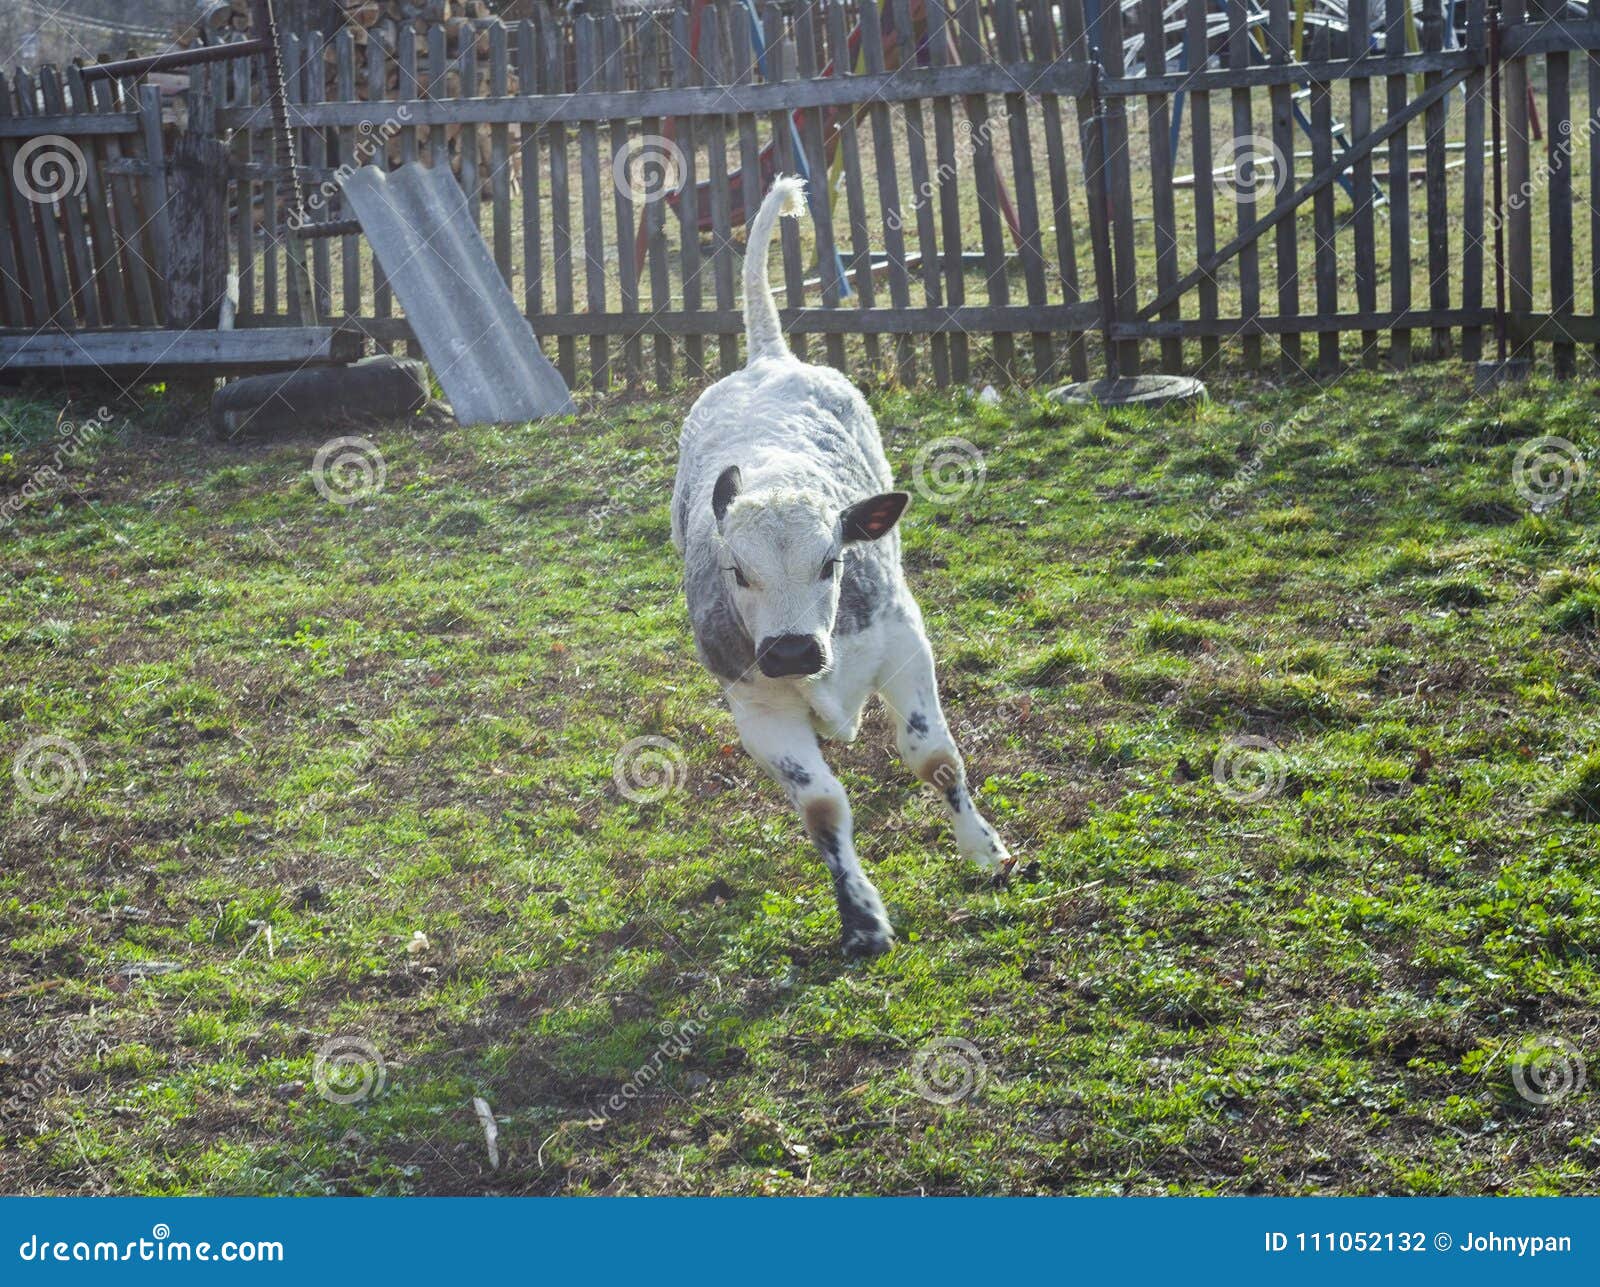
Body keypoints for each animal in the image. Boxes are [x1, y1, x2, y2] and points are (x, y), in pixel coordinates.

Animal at [670, 176, 1013, 958]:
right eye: (736, 571)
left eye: (833, 561)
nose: (793, 649)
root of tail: (767, 361)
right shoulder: (756, 707)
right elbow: (823, 807)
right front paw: (860, 919)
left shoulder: (906, 644)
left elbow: (935, 758)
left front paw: (983, 850)